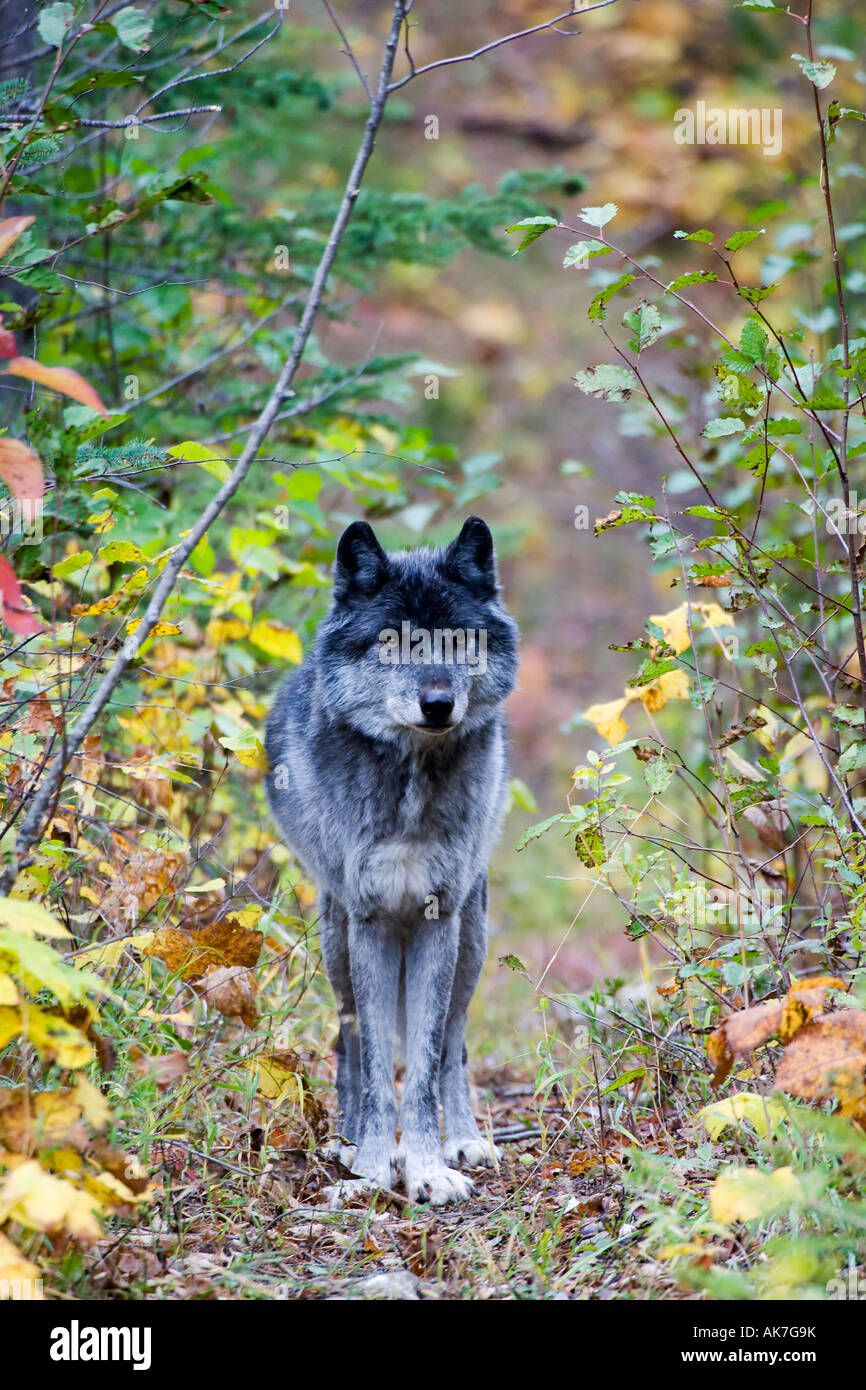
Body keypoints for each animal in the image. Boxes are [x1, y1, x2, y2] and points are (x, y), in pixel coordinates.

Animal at [265, 516, 519, 1204]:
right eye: (390, 640)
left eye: (457, 640)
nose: (438, 703)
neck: (411, 780)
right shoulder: (372, 921)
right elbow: (379, 1063)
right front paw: (377, 1165)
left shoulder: (437, 919)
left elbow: (426, 1065)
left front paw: (429, 1166)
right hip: (337, 941)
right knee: (349, 1041)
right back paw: (349, 1142)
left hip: (472, 938)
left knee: (454, 1044)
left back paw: (464, 1139)